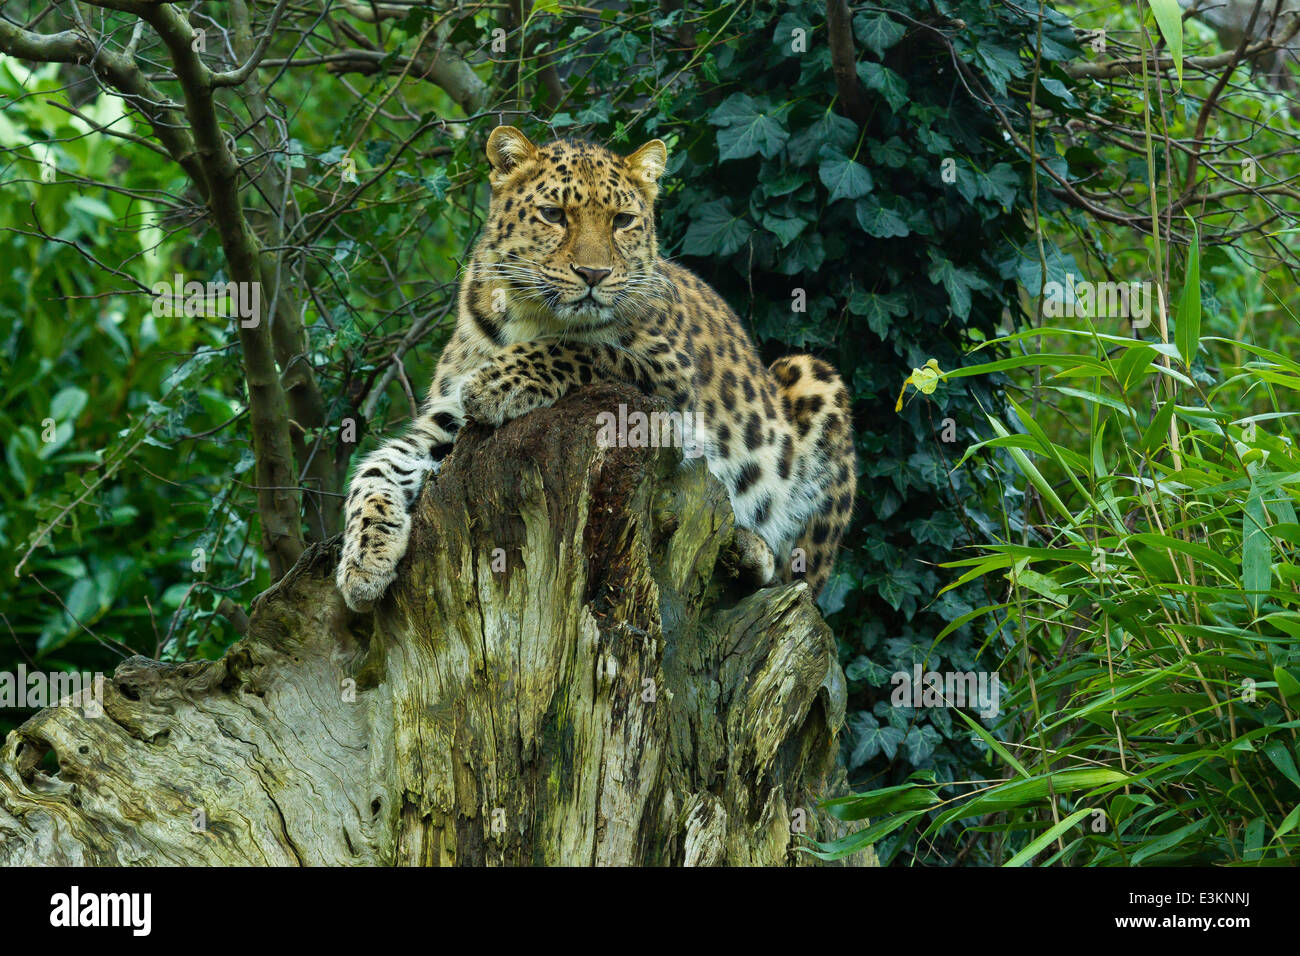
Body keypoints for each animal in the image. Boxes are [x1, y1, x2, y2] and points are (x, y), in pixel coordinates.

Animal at [336, 126, 856, 612]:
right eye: (553, 214)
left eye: (622, 221)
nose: (593, 274)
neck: (533, 315)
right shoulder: (443, 421)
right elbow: (379, 469)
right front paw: (363, 563)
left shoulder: (673, 380)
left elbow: (584, 350)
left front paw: (496, 383)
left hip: (812, 377)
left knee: (798, 576)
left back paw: (753, 549)